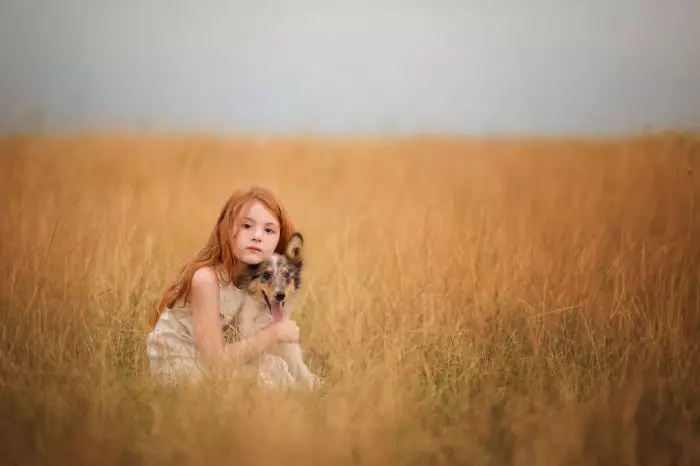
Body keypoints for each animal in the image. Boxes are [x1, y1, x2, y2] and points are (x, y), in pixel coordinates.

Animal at [226, 233, 322, 390]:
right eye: (266, 275)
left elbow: (310, 377)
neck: (271, 322)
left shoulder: (293, 354)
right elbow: (275, 361)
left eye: (287, 275)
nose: (280, 295)